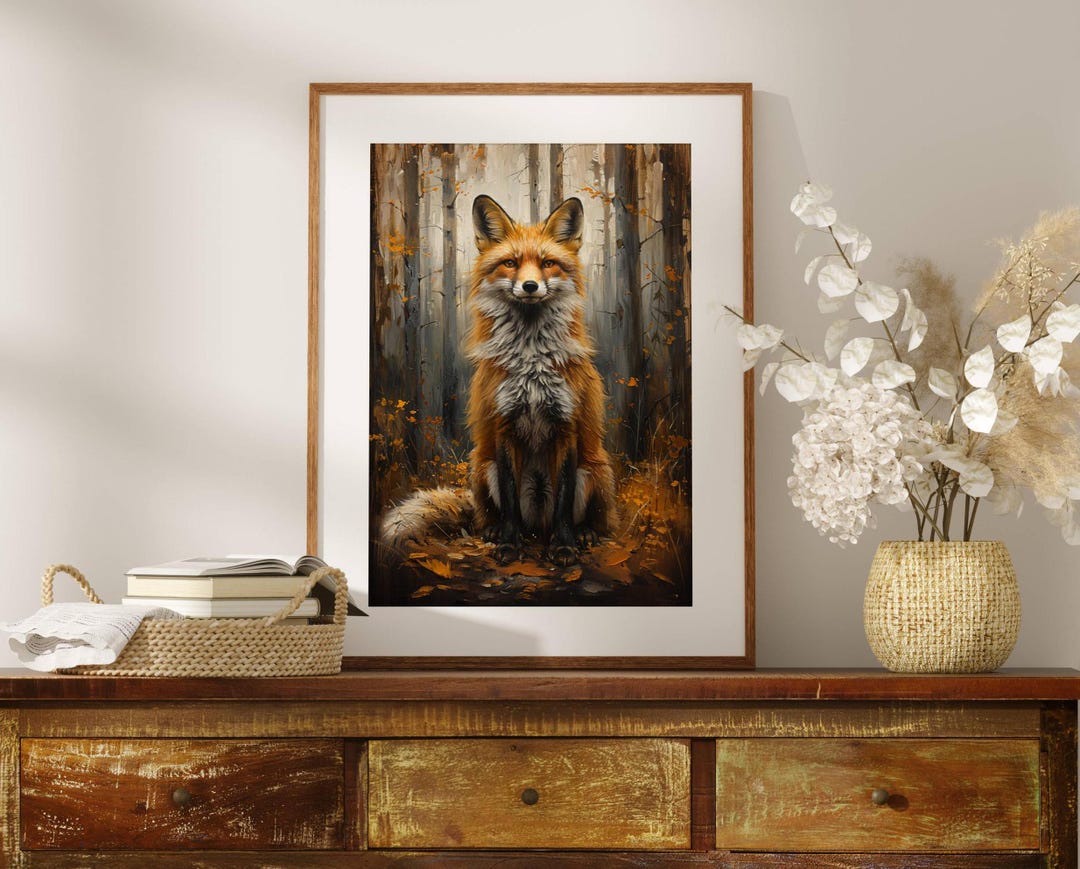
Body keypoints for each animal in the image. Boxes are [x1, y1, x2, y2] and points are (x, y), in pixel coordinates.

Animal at [380, 194, 616, 567]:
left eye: (548, 263)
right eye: (510, 263)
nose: (530, 286)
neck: (531, 360)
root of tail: (537, 523)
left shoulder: (567, 426)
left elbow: (564, 507)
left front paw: (564, 547)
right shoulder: (503, 424)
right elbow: (508, 503)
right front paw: (507, 544)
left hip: (594, 470)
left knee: (590, 519)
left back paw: (585, 534)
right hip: (483, 465)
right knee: (492, 515)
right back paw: (493, 532)